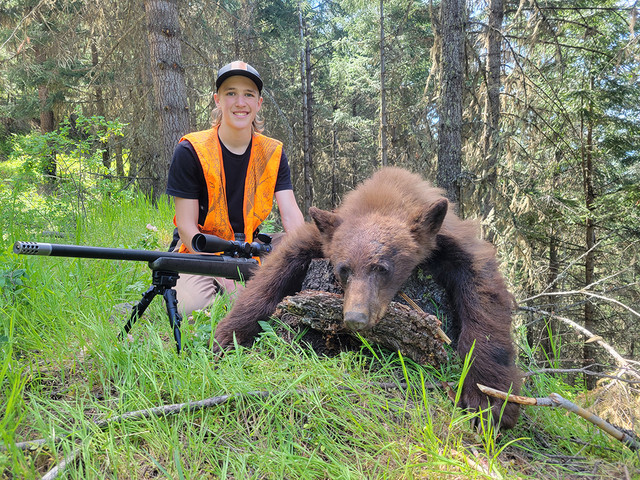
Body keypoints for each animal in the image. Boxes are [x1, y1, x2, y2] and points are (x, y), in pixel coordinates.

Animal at [213, 167, 522, 429]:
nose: (356, 318)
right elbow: (274, 271)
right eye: (343, 269)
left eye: (382, 268)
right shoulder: (323, 235)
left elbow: (483, 295)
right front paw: (227, 336)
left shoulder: (454, 241)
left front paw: (490, 400)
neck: (385, 195)